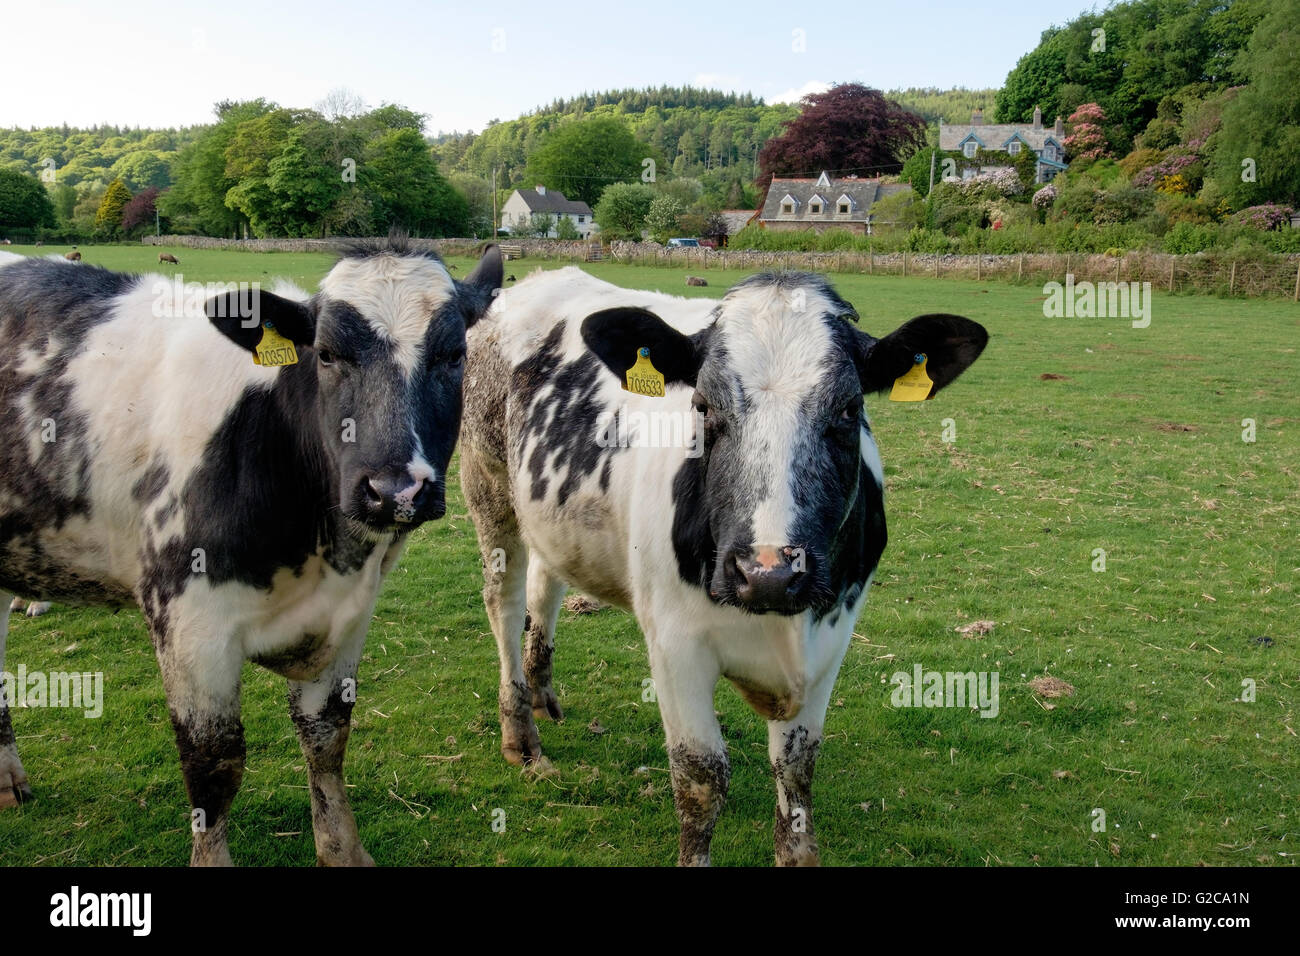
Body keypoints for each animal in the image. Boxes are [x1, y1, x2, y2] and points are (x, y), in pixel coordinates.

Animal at [0, 239, 503, 865]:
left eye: (454, 354)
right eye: (327, 354)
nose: (394, 491)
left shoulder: (347, 619)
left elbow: (326, 740)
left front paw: (342, 851)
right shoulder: (187, 619)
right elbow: (214, 765)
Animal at [460, 267, 986, 865]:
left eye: (850, 409)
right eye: (704, 406)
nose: (769, 573)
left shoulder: (832, 641)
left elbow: (797, 770)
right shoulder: (675, 645)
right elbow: (701, 778)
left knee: (545, 588)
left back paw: (543, 693)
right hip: (487, 483)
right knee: (504, 604)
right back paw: (521, 734)